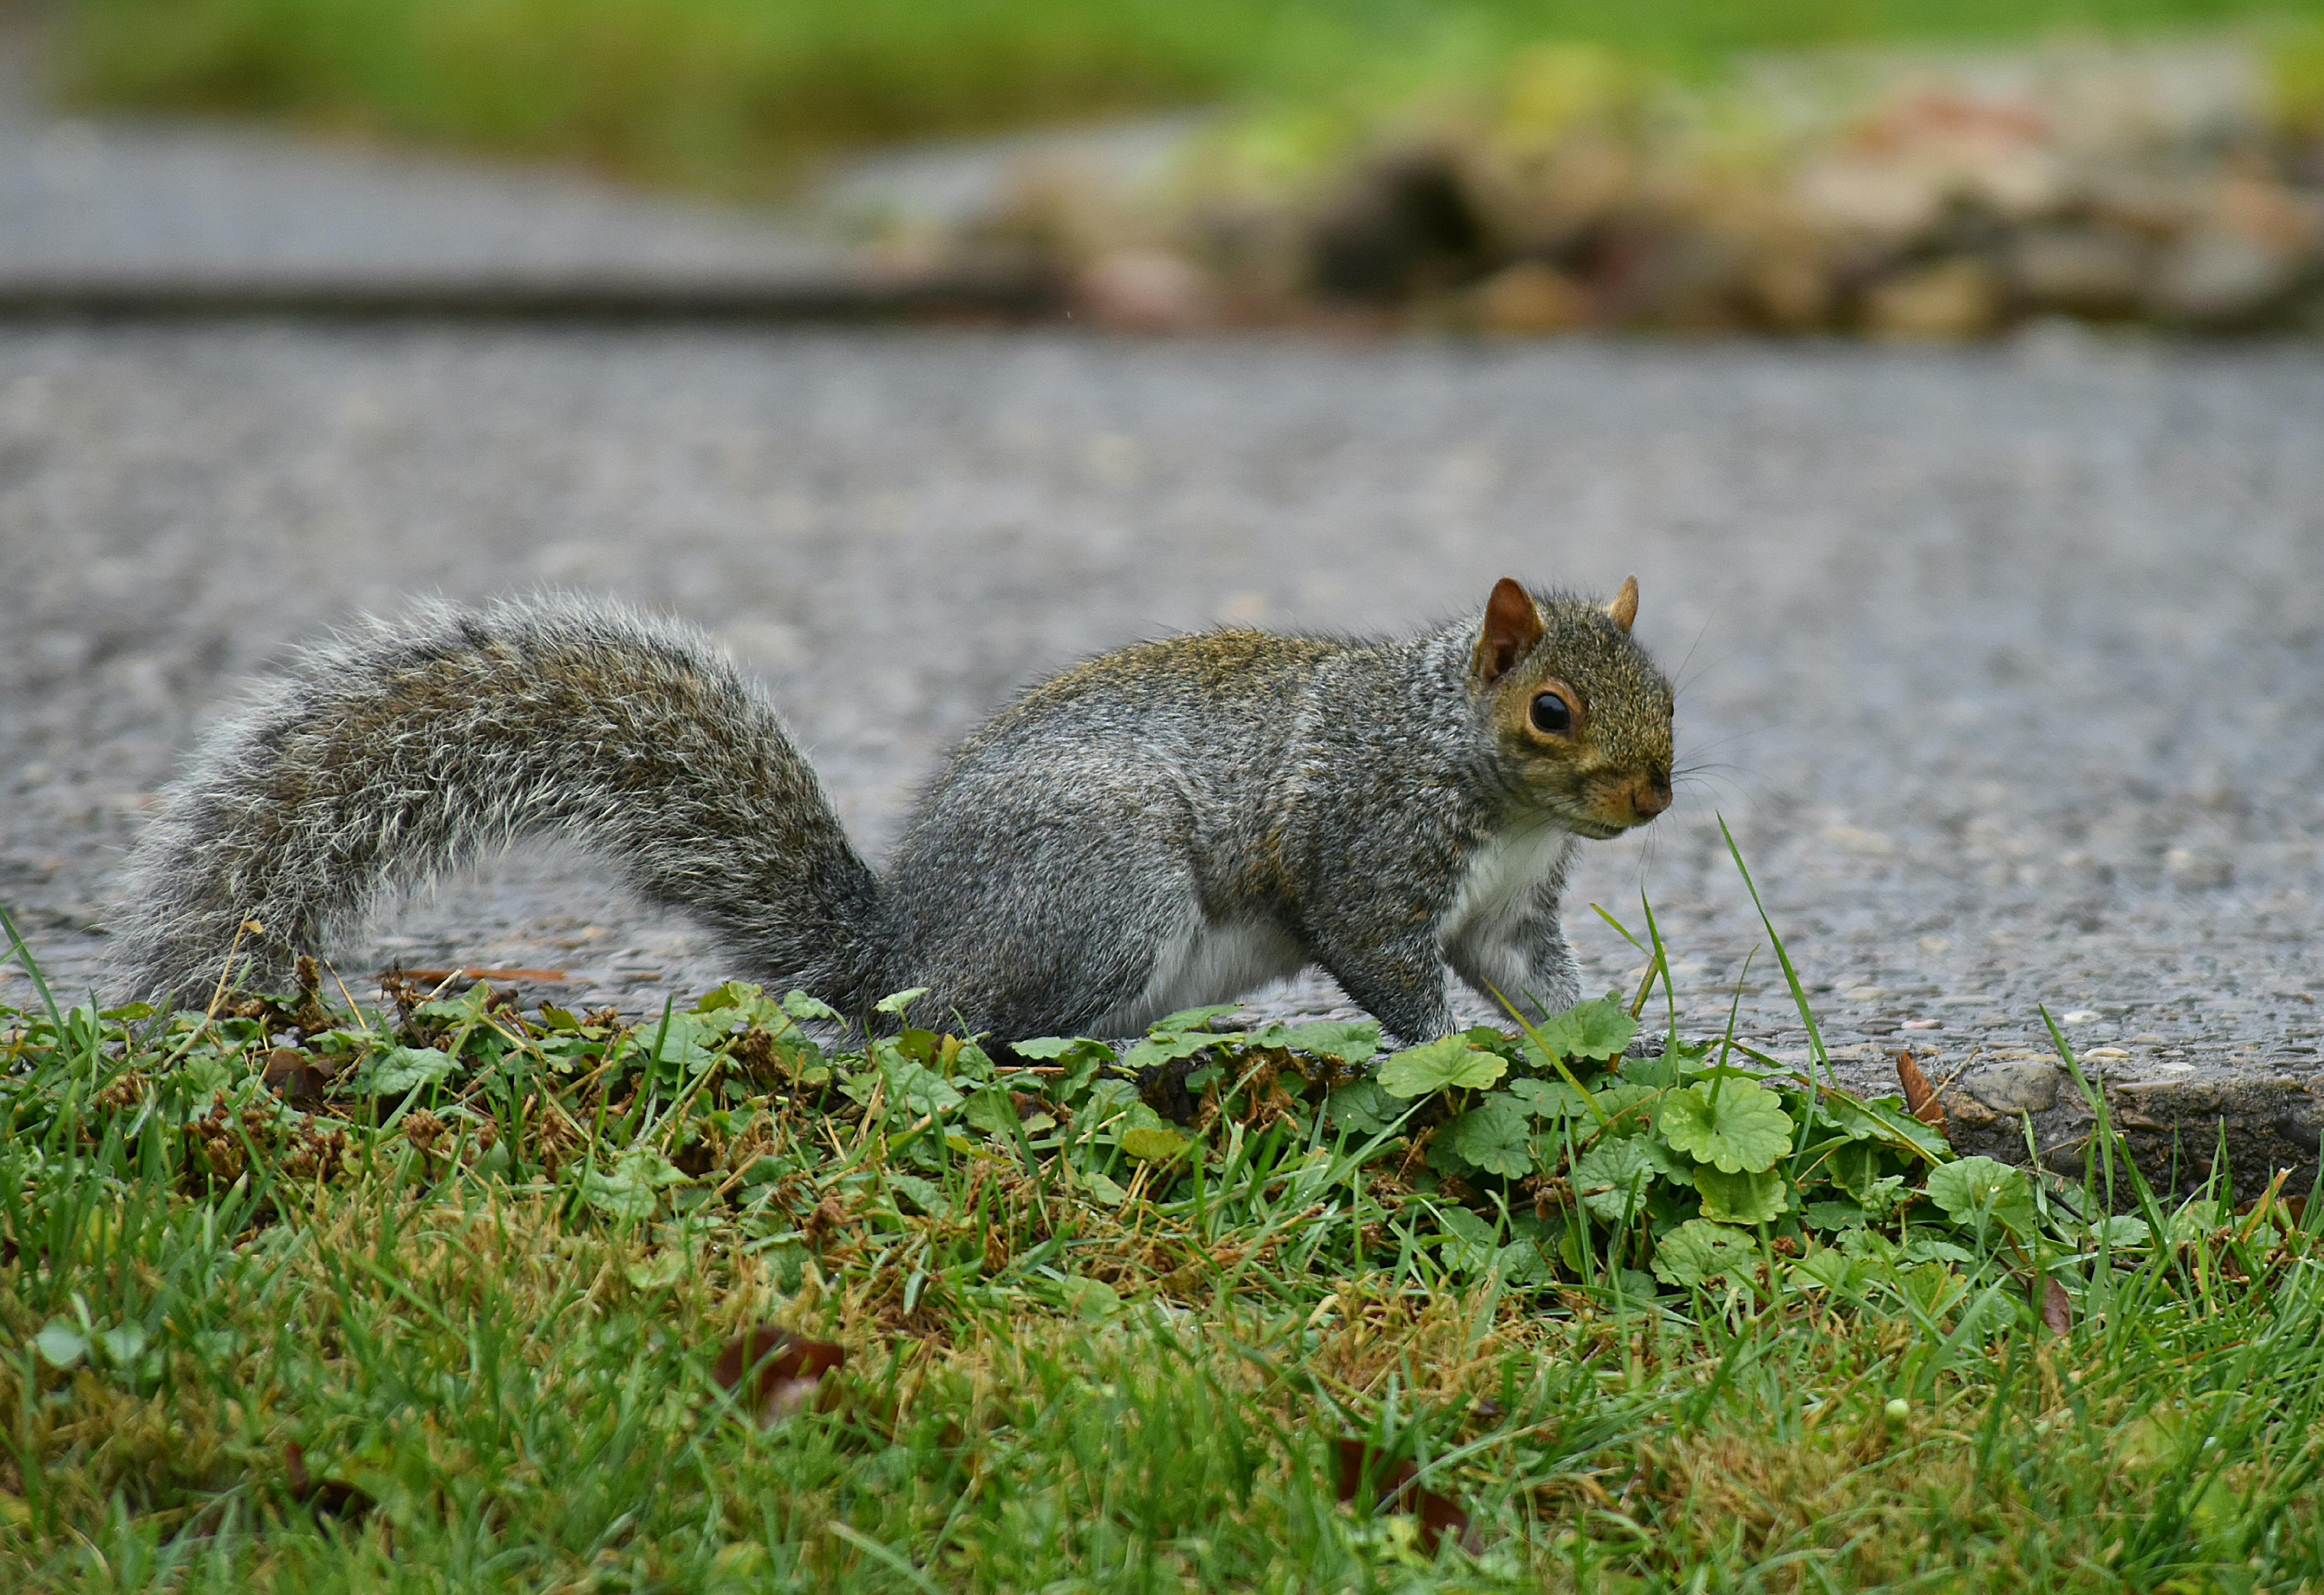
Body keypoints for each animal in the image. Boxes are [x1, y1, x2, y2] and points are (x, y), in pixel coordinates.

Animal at [109, 577, 1674, 1044]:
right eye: (1552, 712)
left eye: (1666, 686)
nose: (1655, 794)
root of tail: (905, 954)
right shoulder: (1368, 843)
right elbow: (1392, 974)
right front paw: (1455, 1048)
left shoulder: (1510, 912)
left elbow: (1537, 981)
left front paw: (1609, 1047)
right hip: (1106, 886)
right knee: (995, 1036)